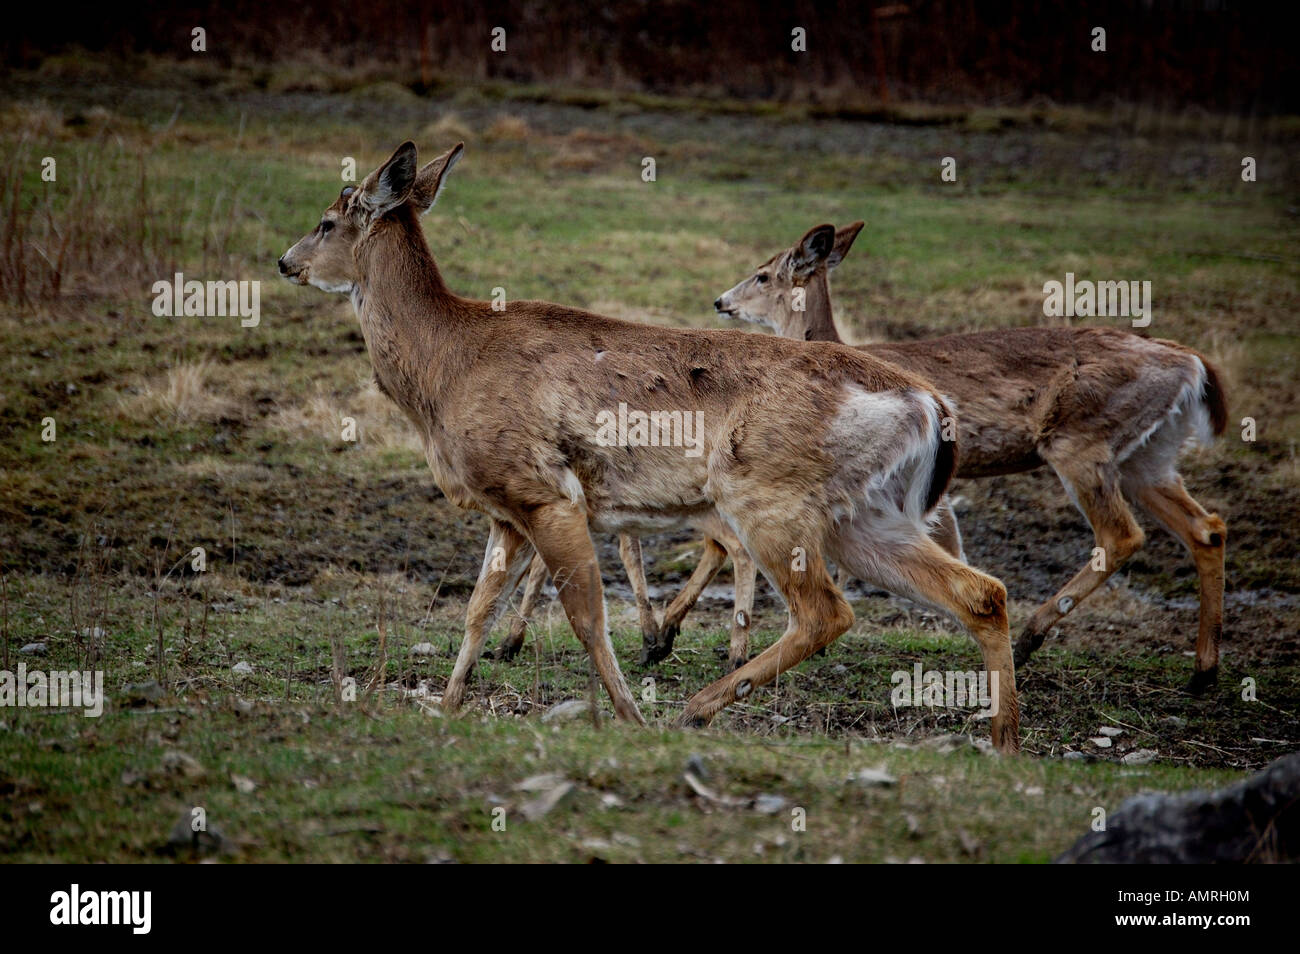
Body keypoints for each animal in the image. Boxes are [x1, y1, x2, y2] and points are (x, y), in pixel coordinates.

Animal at [277, 141, 1021, 752]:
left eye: (328, 219)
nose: (285, 261)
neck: (446, 369)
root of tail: (930, 403)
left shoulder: (546, 492)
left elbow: (585, 616)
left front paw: (631, 712)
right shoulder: (503, 511)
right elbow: (476, 611)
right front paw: (449, 704)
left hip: (770, 497)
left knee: (826, 611)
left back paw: (697, 708)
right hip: (865, 513)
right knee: (980, 590)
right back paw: (1004, 742)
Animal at [708, 221, 1228, 694]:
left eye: (762, 275)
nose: (720, 301)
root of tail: (1194, 363)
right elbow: (952, 549)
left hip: (1079, 441)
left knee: (1123, 534)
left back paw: (1032, 635)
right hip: (1148, 454)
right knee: (1206, 528)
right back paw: (1202, 672)